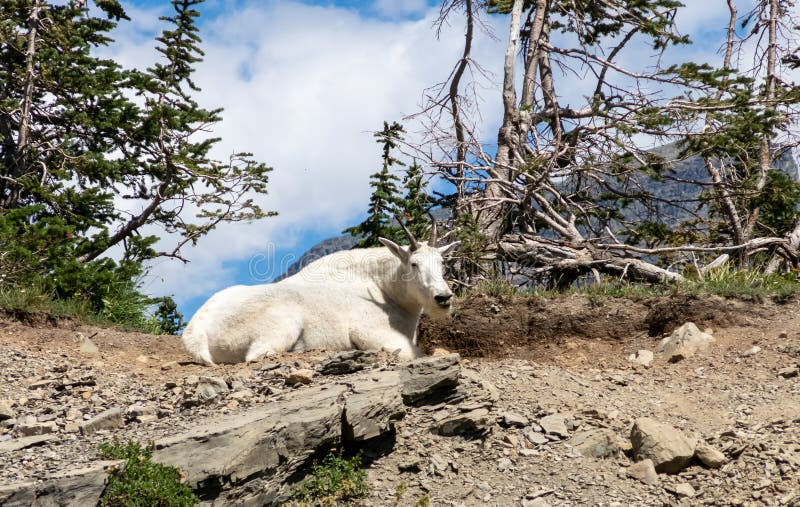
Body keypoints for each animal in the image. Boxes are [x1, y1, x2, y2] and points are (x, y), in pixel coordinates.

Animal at [181, 220, 459, 364]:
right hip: (282, 323)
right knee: (258, 354)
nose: (443, 298)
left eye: (442, 263)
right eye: (414, 264)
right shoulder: (369, 331)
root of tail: (196, 334)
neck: (384, 288)